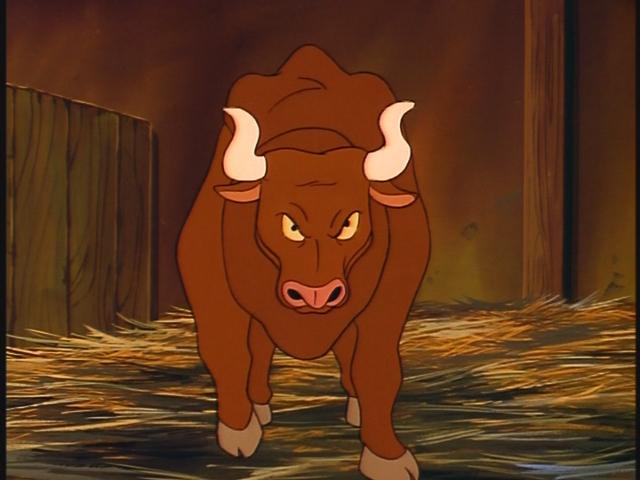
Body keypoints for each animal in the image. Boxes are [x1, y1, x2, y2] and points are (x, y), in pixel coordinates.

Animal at [177, 45, 430, 479]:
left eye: (349, 222)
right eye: (288, 223)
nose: (316, 294)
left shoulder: (391, 297)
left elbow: (376, 369)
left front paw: (385, 455)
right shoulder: (208, 282)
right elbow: (227, 351)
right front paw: (238, 428)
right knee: (259, 347)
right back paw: (258, 403)